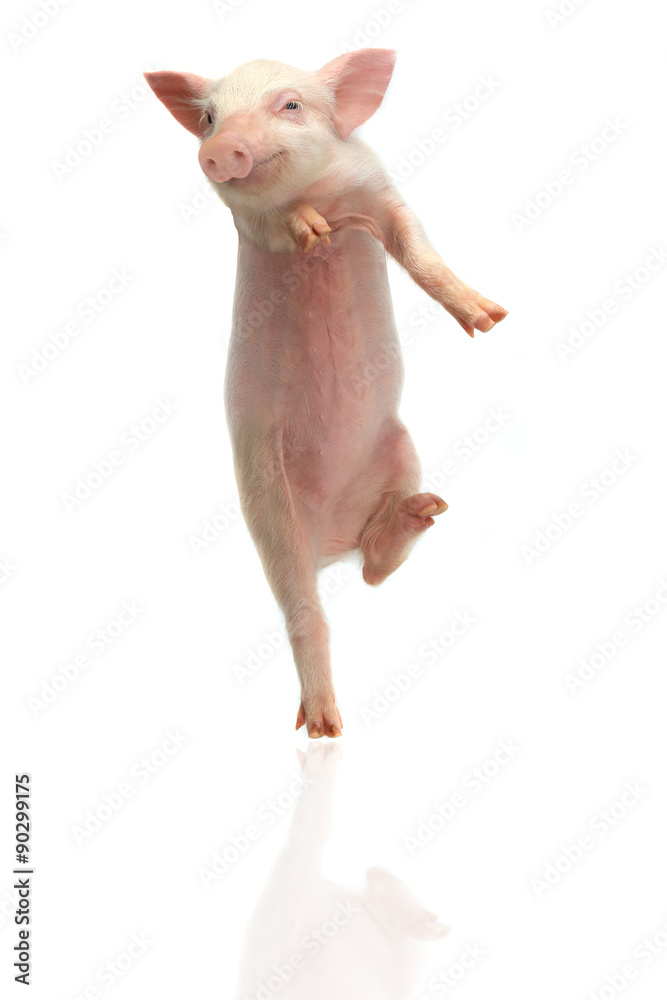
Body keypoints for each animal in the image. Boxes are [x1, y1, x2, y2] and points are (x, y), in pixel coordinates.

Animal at [144, 49, 507, 739]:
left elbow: (416, 249)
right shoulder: (250, 221)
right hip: (268, 504)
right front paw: (312, 231)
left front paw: (491, 321)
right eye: (209, 119)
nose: (221, 150)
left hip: (399, 450)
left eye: (289, 104)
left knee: (373, 570)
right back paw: (325, 728)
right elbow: (276, 222)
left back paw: (426, 510)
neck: (324, 197)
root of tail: (330, 544)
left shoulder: (382, 193)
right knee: (306, 611)